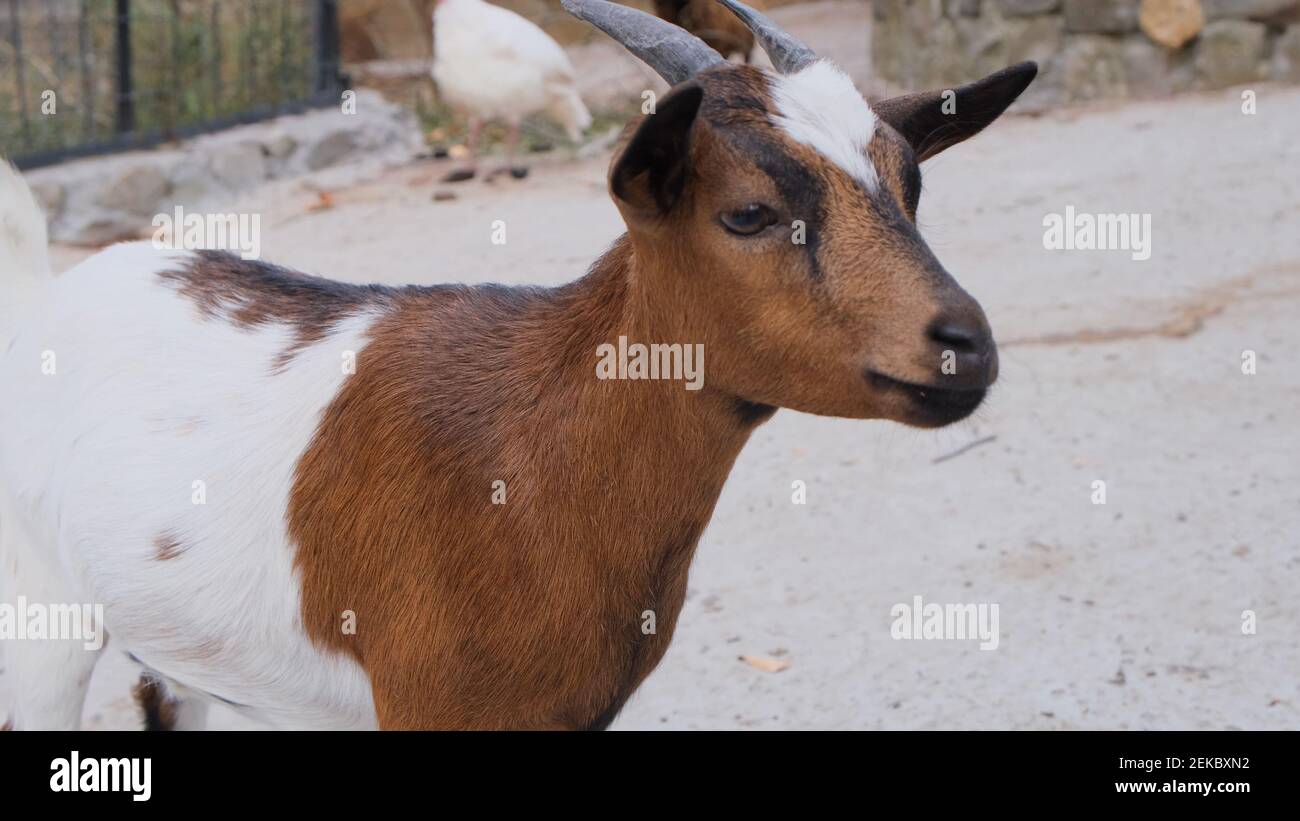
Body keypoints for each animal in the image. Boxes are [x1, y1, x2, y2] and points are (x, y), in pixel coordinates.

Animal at [0, 0, 1035, 730]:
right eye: (746, 212)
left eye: (910, 184)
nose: (965, 343)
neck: (534, 452)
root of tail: (47, 294)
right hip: (38, 619)